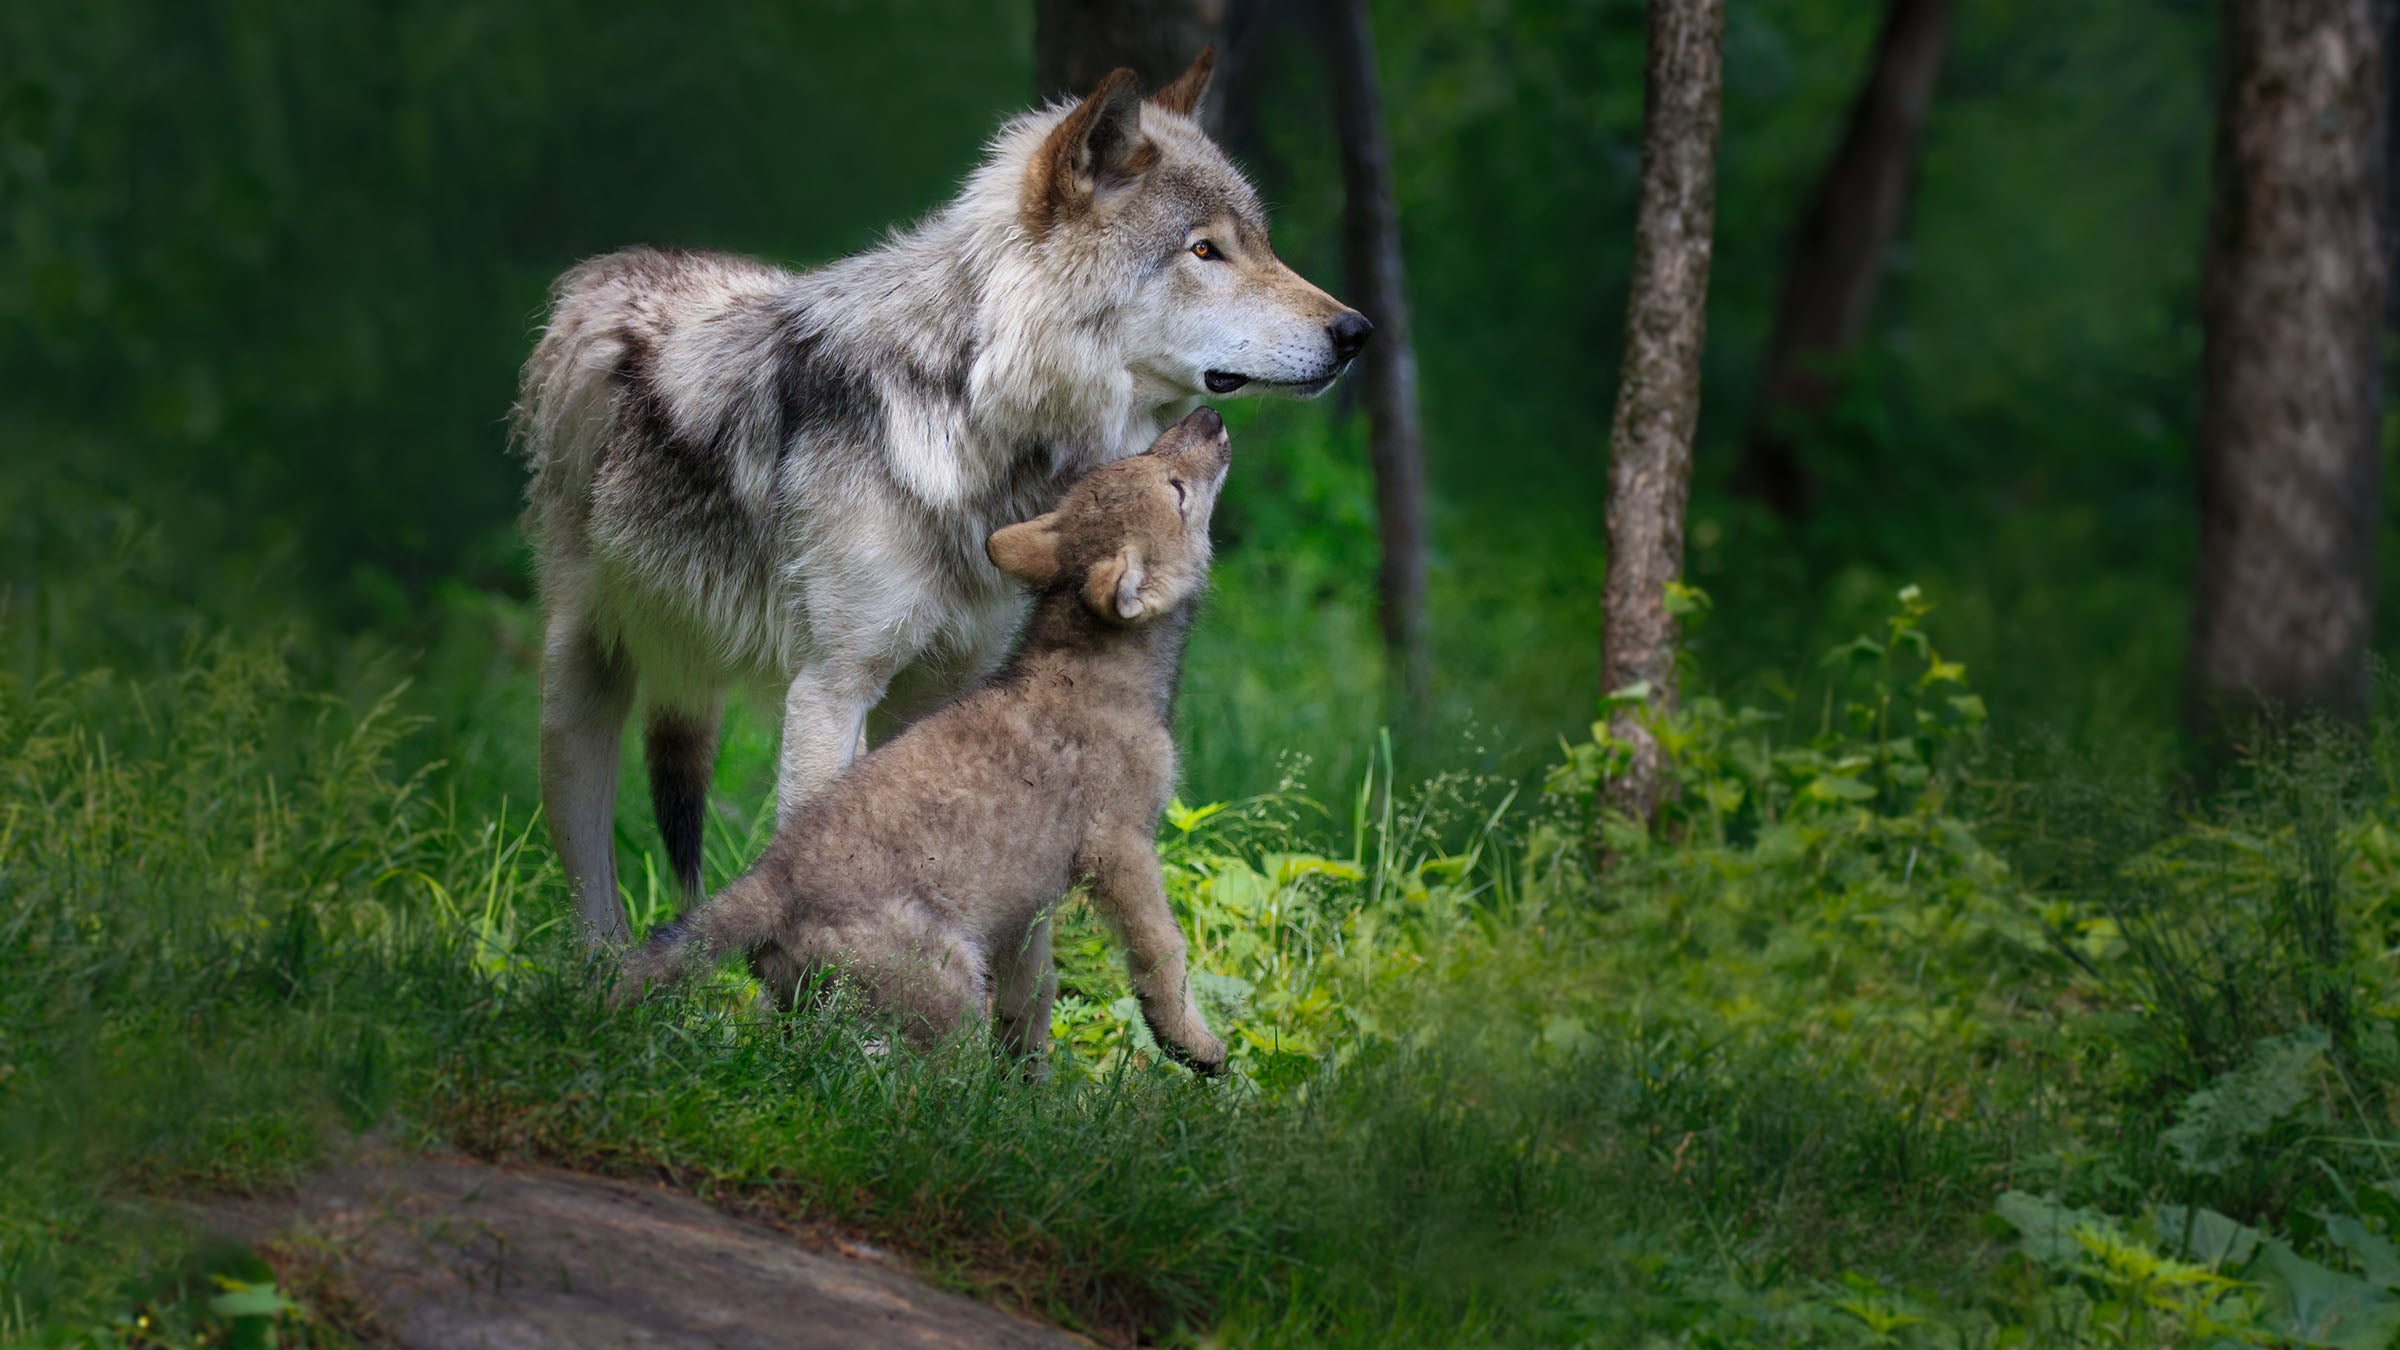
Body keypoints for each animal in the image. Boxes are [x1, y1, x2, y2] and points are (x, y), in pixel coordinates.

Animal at [515, 50, 1367, 945]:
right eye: (1204, 250)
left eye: (1260, 244)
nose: (1357, 332)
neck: (972, 416)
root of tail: (610, 271)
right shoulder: (831, 690)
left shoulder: (949, 687)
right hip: (579, 690)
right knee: (593, 889)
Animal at [612, 408, 1237, 1076]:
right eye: (1176, 490)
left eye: (1143, 459)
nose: (1210, 417)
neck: (1097, 667)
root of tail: (771, 879)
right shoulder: (1119, 847)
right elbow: (1162, 952)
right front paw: (1195, 1046)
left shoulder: (1028, 906)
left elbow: (1033, 994)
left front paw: (1029, 1085)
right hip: (950, 992)